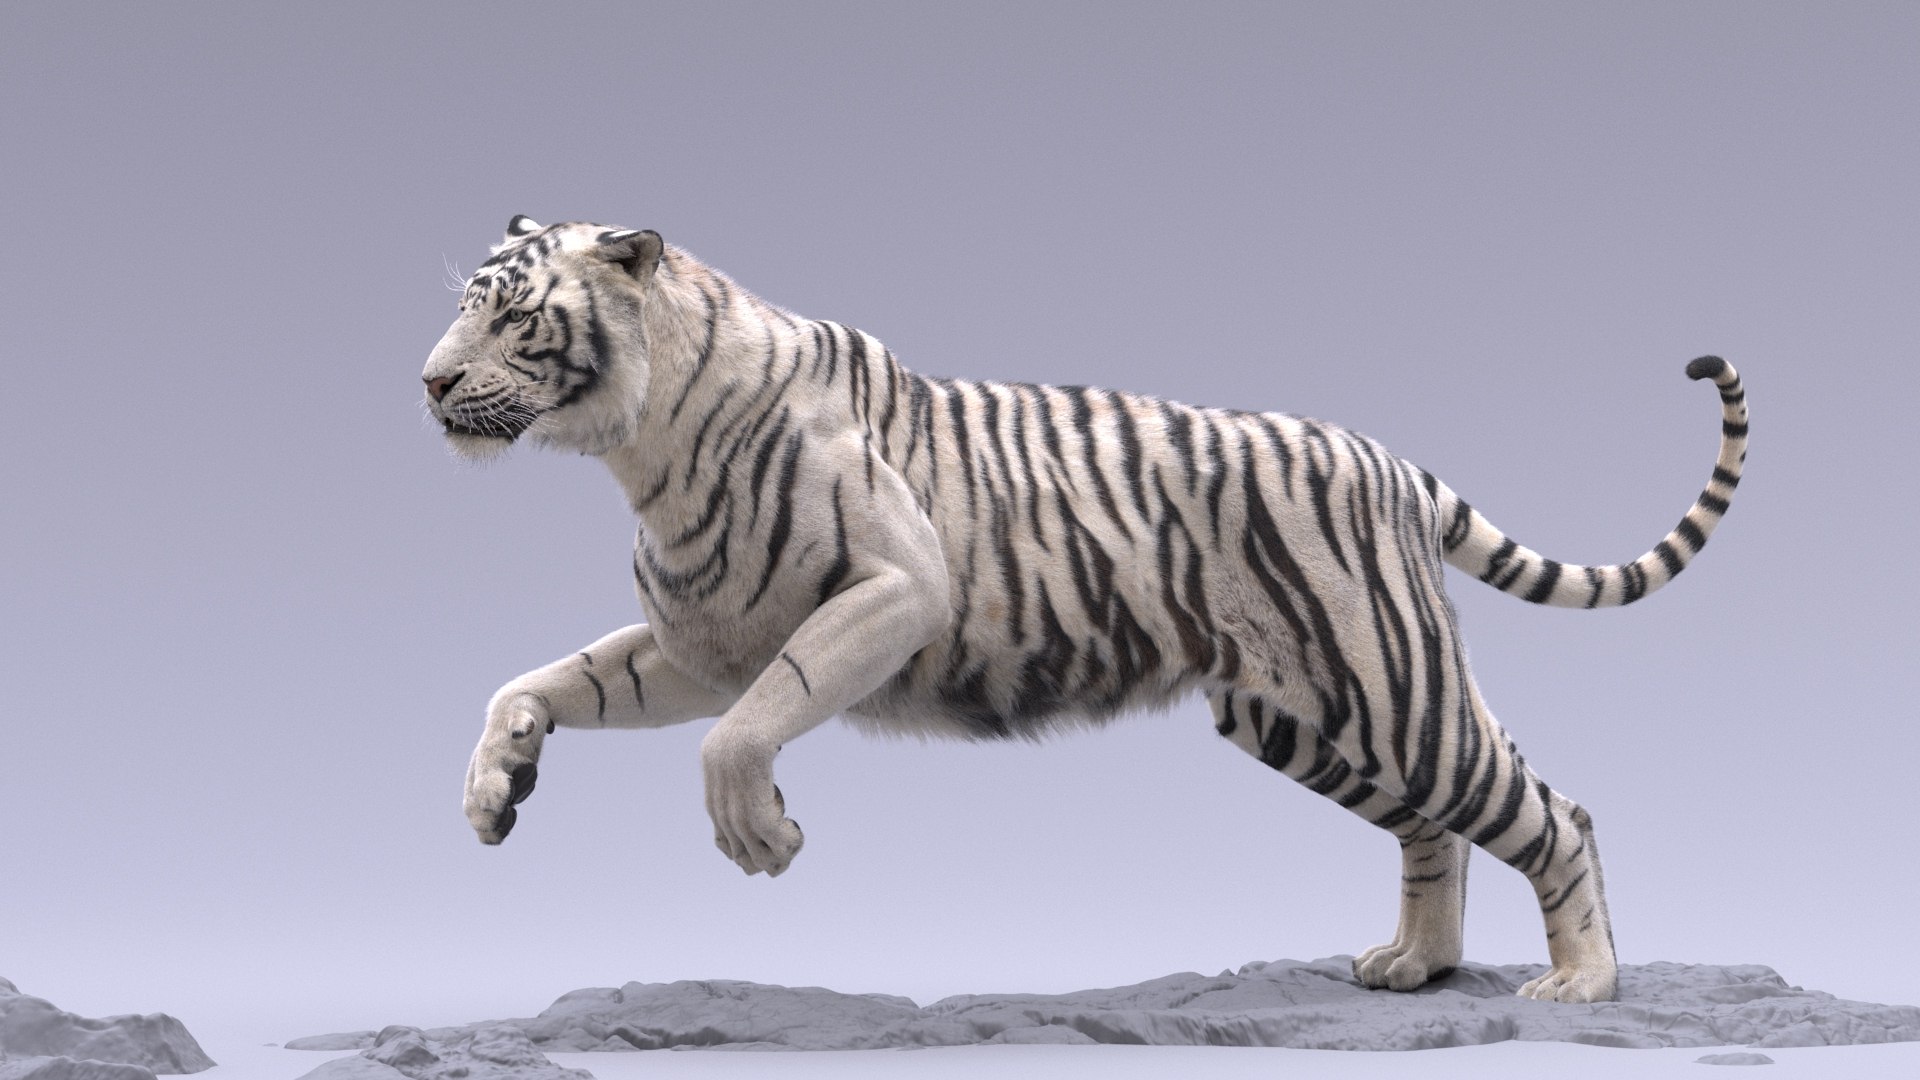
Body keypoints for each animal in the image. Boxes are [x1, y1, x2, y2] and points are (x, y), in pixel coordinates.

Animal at [422, 215, 1747, 1005]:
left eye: (511, 314)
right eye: (464, 306)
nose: (429, 381)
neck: (639, 445)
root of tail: (1392, 461)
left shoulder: (894, 588)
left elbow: (743, 730)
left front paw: (762, 837)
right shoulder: (706, 641)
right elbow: (542, 680)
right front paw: (496, 791)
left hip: (1393, 691)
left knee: (1551, 814)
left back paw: (1584, 985)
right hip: (1305, 718)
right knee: (1437, 831)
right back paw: (1414, 965)